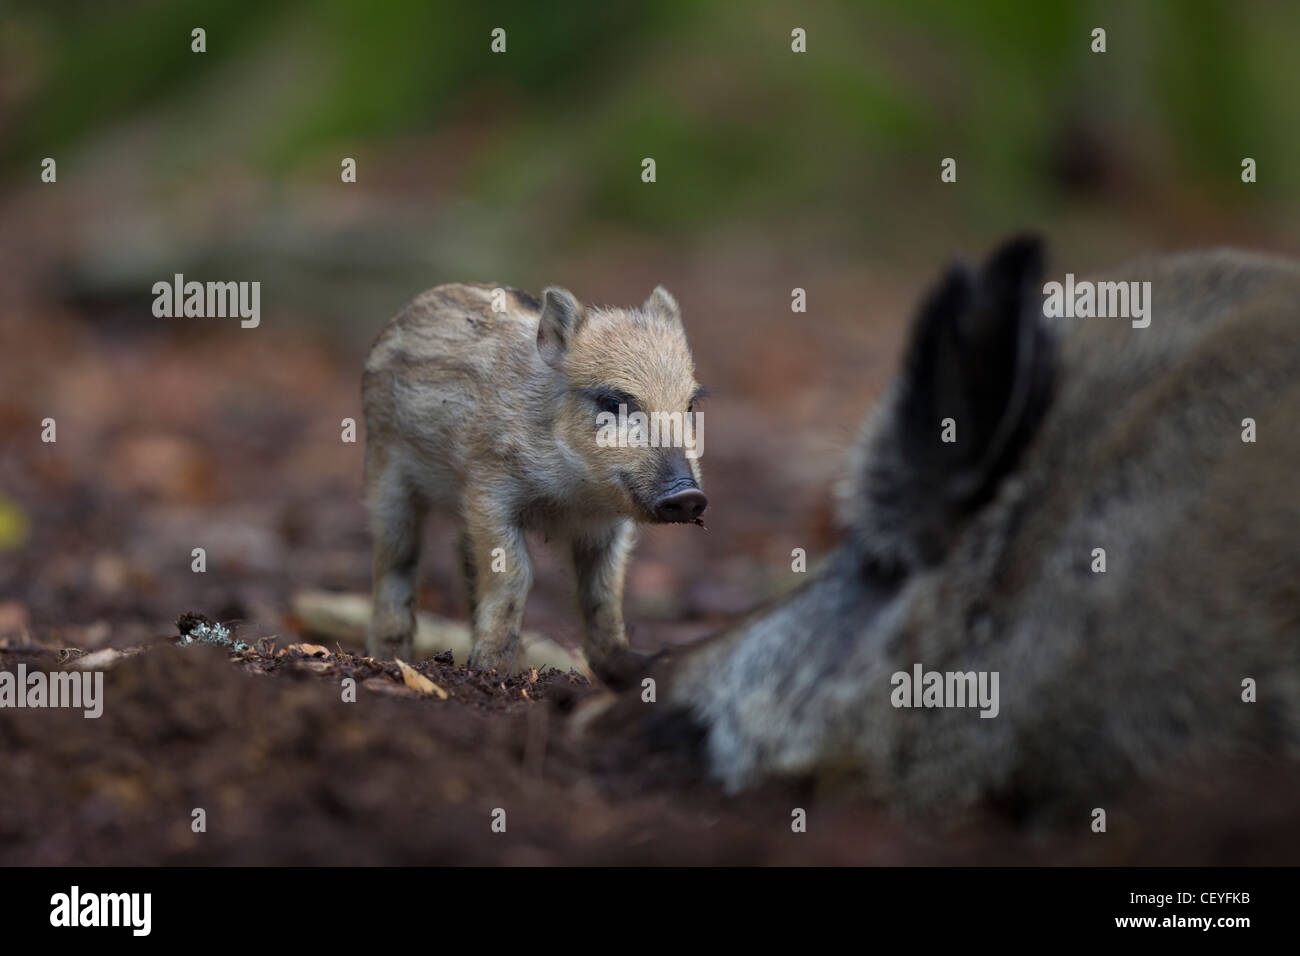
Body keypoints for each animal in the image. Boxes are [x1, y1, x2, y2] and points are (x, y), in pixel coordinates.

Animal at [362, 282, 707, 675]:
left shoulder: (608, 525)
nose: (688, 495)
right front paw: (490, 670)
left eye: (689, 406)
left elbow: (604, 589)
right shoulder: (488, 490)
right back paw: (391, 658)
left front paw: (635, 665)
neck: (576, 492)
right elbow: (515, 573)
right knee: (397, 557)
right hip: (386, 470)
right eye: (612, 403)